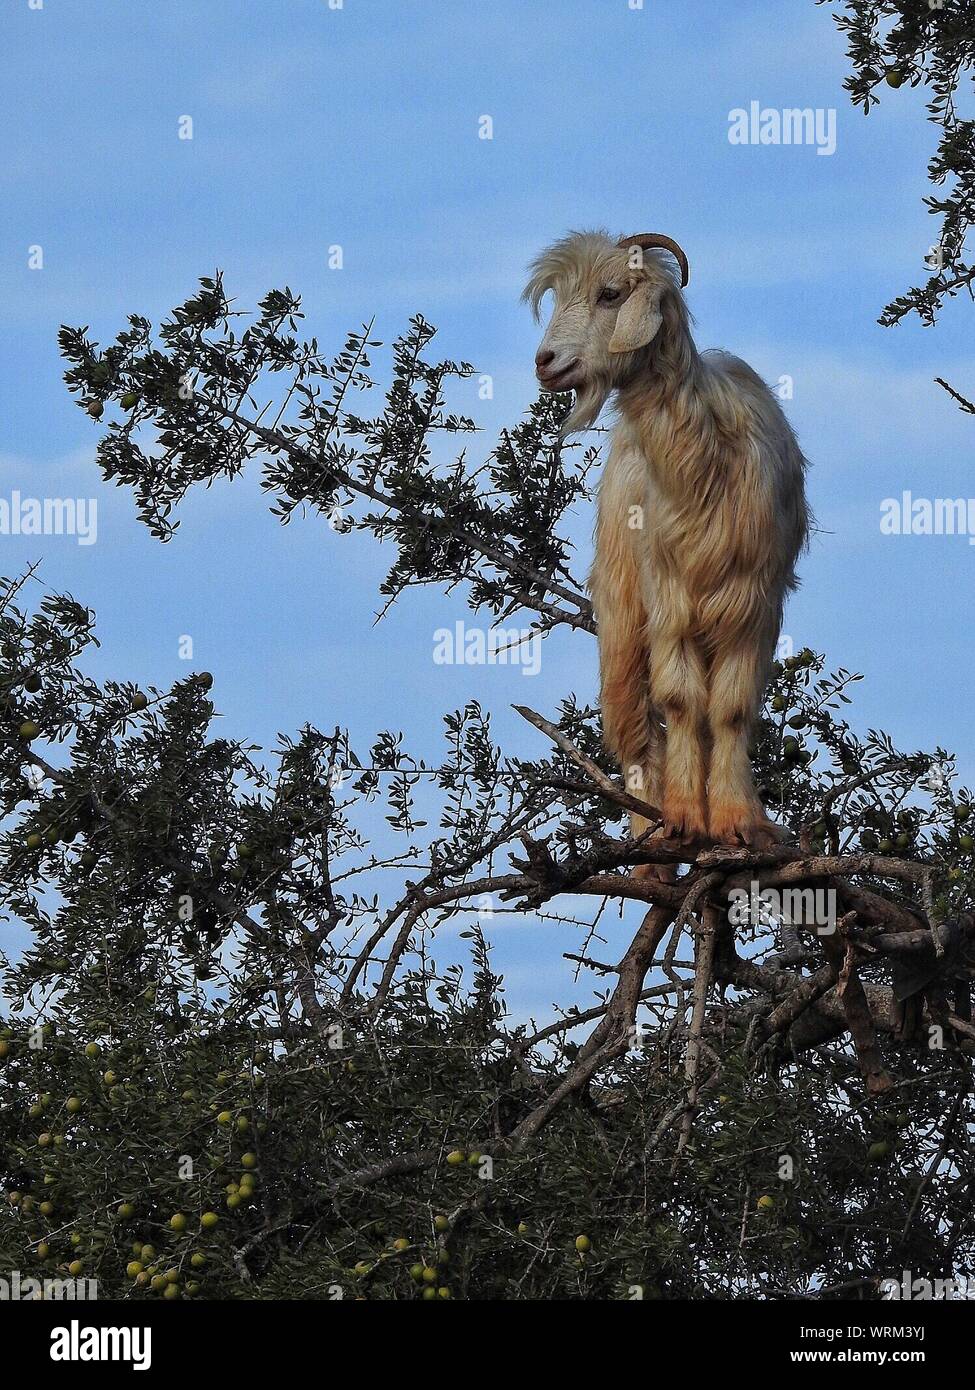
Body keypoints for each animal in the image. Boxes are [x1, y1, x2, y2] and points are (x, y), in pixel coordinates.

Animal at [525, 230, 809, 849]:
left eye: (610, 294)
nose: (545, 362)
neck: (705, 466)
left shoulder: (753, 599)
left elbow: (729, 709)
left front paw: (737, 822)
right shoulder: (669, 593)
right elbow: (679, 702)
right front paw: (683, 816)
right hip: (622, 607)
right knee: (635, 728)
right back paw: (652, 847)